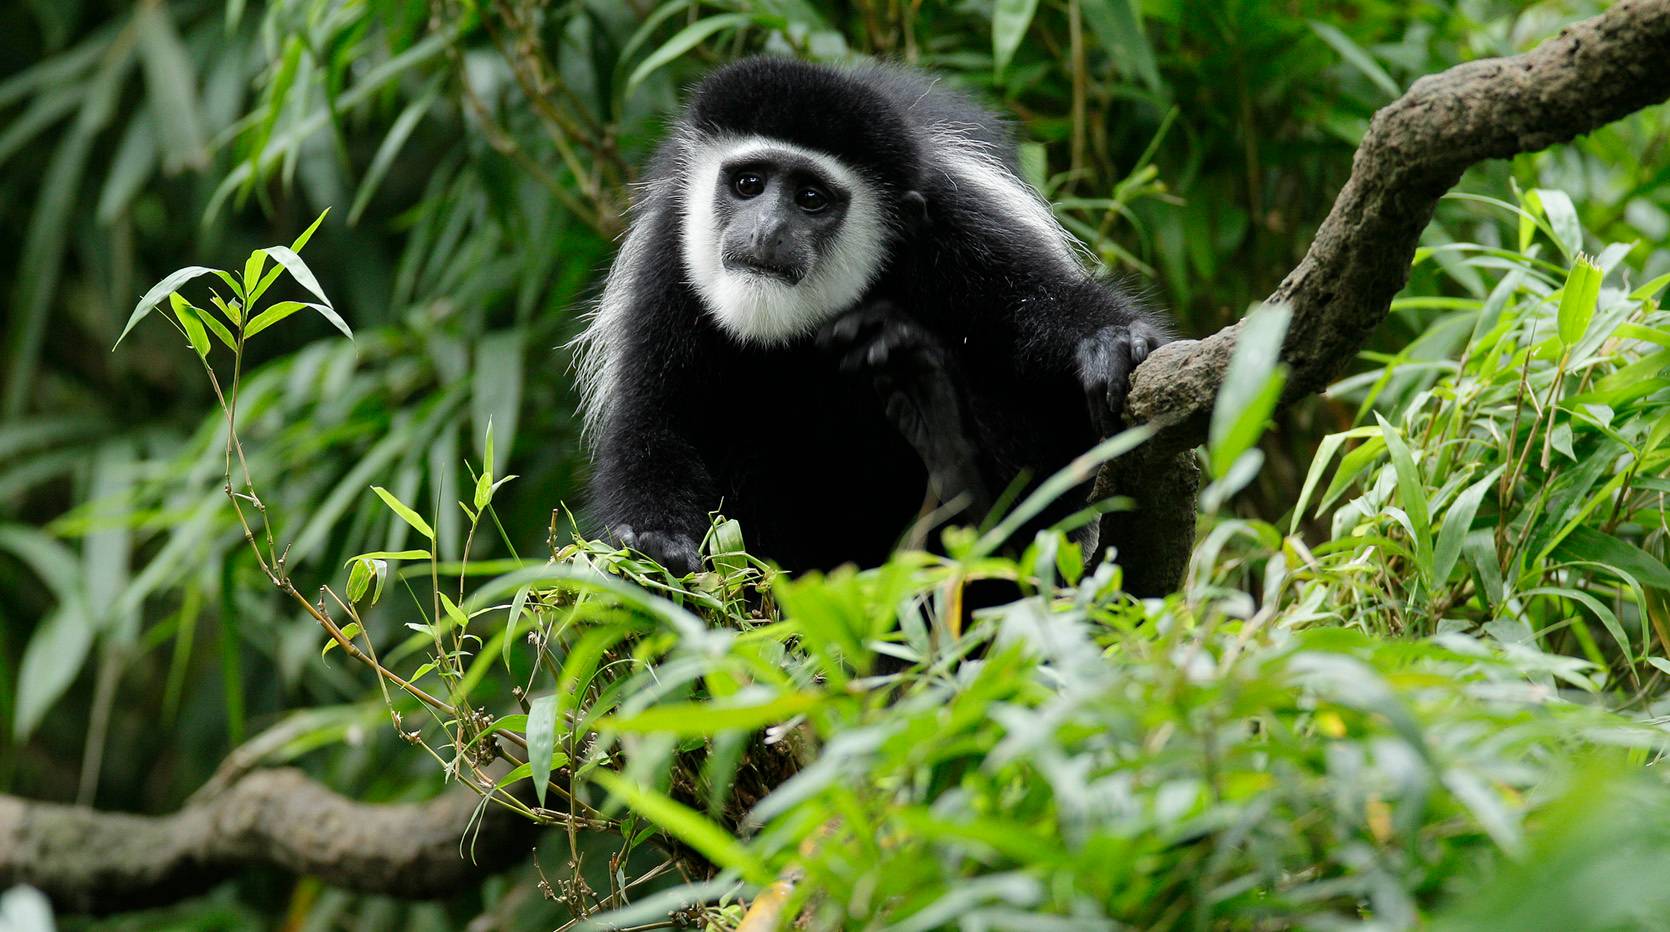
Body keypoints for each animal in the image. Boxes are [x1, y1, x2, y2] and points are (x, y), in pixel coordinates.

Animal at [573, 56, 1172, 576]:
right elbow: (655, 420)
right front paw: (659, 545)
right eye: (748, 184)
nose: (767, 231)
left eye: (811, 198)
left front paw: (1112, 343)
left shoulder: (956, 227)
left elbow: (1041, 312)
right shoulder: (667, 263)